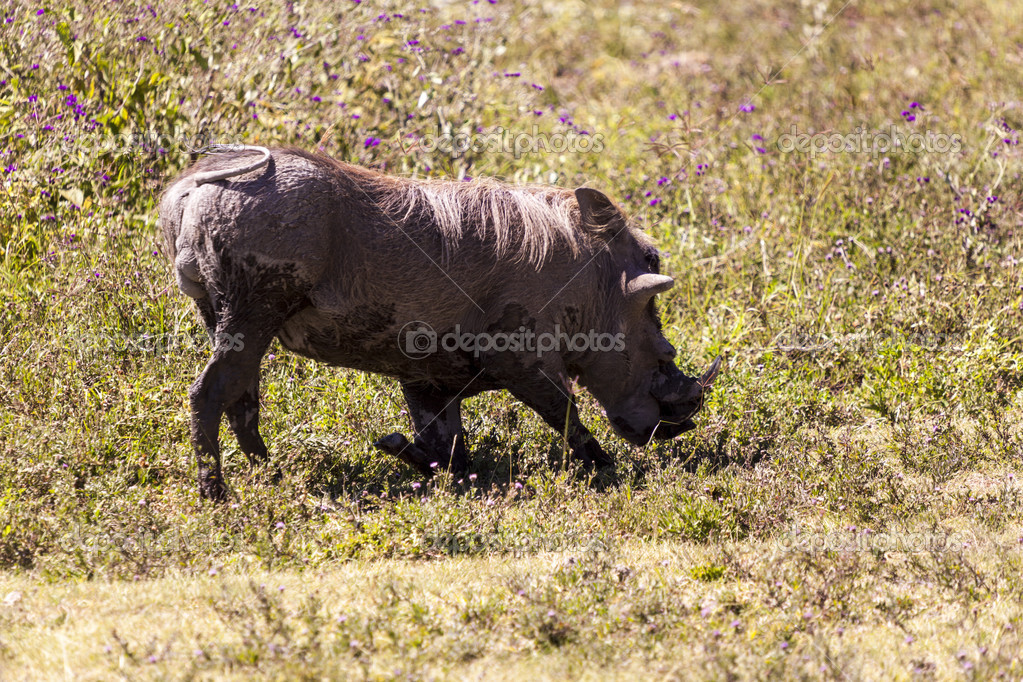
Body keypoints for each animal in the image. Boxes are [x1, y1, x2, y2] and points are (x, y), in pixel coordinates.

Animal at [159, 146, 720, 500]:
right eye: (660, 346)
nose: (679, 426)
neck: (591, 284)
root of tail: (190, 189)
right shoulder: (520, 359)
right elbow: (565, 413)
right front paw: (607, 469)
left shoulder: (428, 378)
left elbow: (445, 445)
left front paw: (411, 457)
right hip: (251, 311)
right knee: (209, 394)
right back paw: (217, 495)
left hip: (224, 319)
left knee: (241, 399)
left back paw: (272, 477)